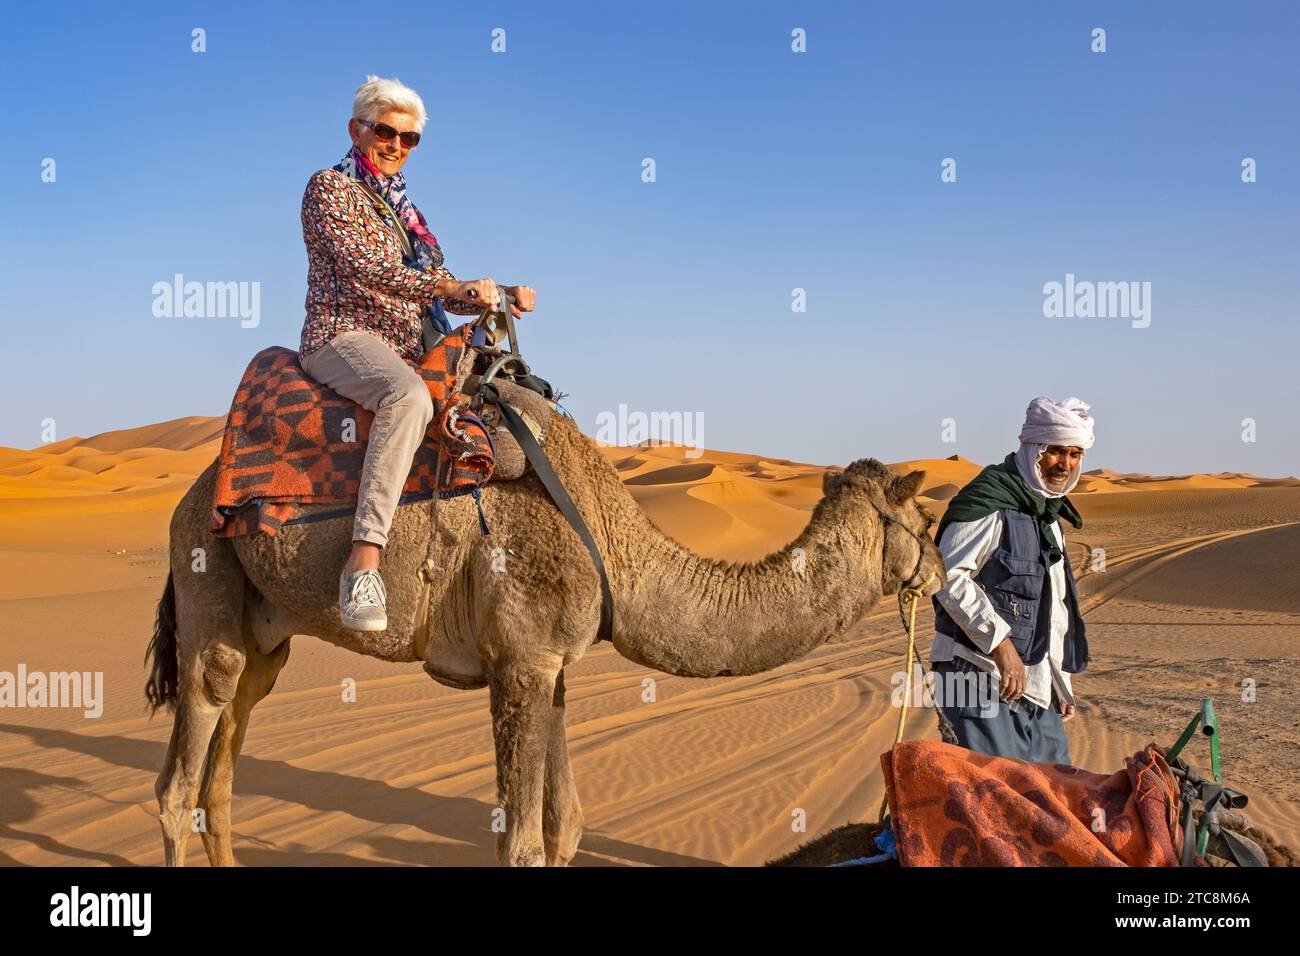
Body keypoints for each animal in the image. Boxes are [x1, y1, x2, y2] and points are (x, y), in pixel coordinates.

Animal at [145, 410, 944, 866]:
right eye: (928, 521)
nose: (940, 572)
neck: (618, 550)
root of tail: (190, 493)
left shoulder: (551, 666)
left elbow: (568, 828)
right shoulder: (521, 661)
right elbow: (522, 842)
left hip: (267, 631)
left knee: (230, 741)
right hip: (204, 562)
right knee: (184, 759)